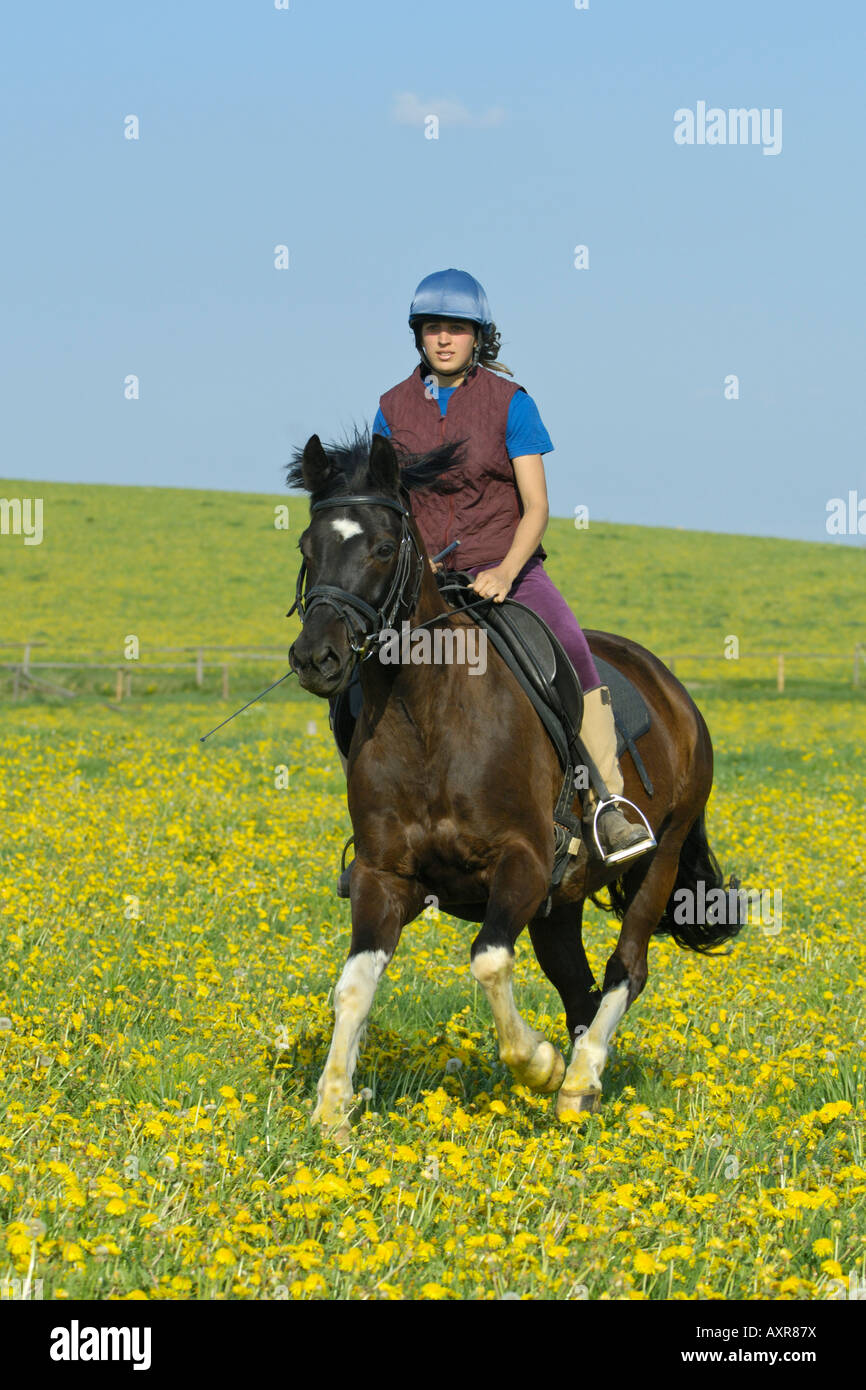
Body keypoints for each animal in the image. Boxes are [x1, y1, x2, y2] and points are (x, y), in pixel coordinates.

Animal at [286, 430, 739, 1143]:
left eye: (383, 548)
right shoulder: (384, 876)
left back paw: (576, 1079)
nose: (316, 658)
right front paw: (332, 1111)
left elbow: (489, 960)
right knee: (578, 983)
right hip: (563, 902)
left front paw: (539, 1065)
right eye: (309, 547)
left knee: (625, 969)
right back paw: (584, 1084)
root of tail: (672, 690)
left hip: (656, 860)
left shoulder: (521, 863)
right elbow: (353, 985)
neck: (427, 716)